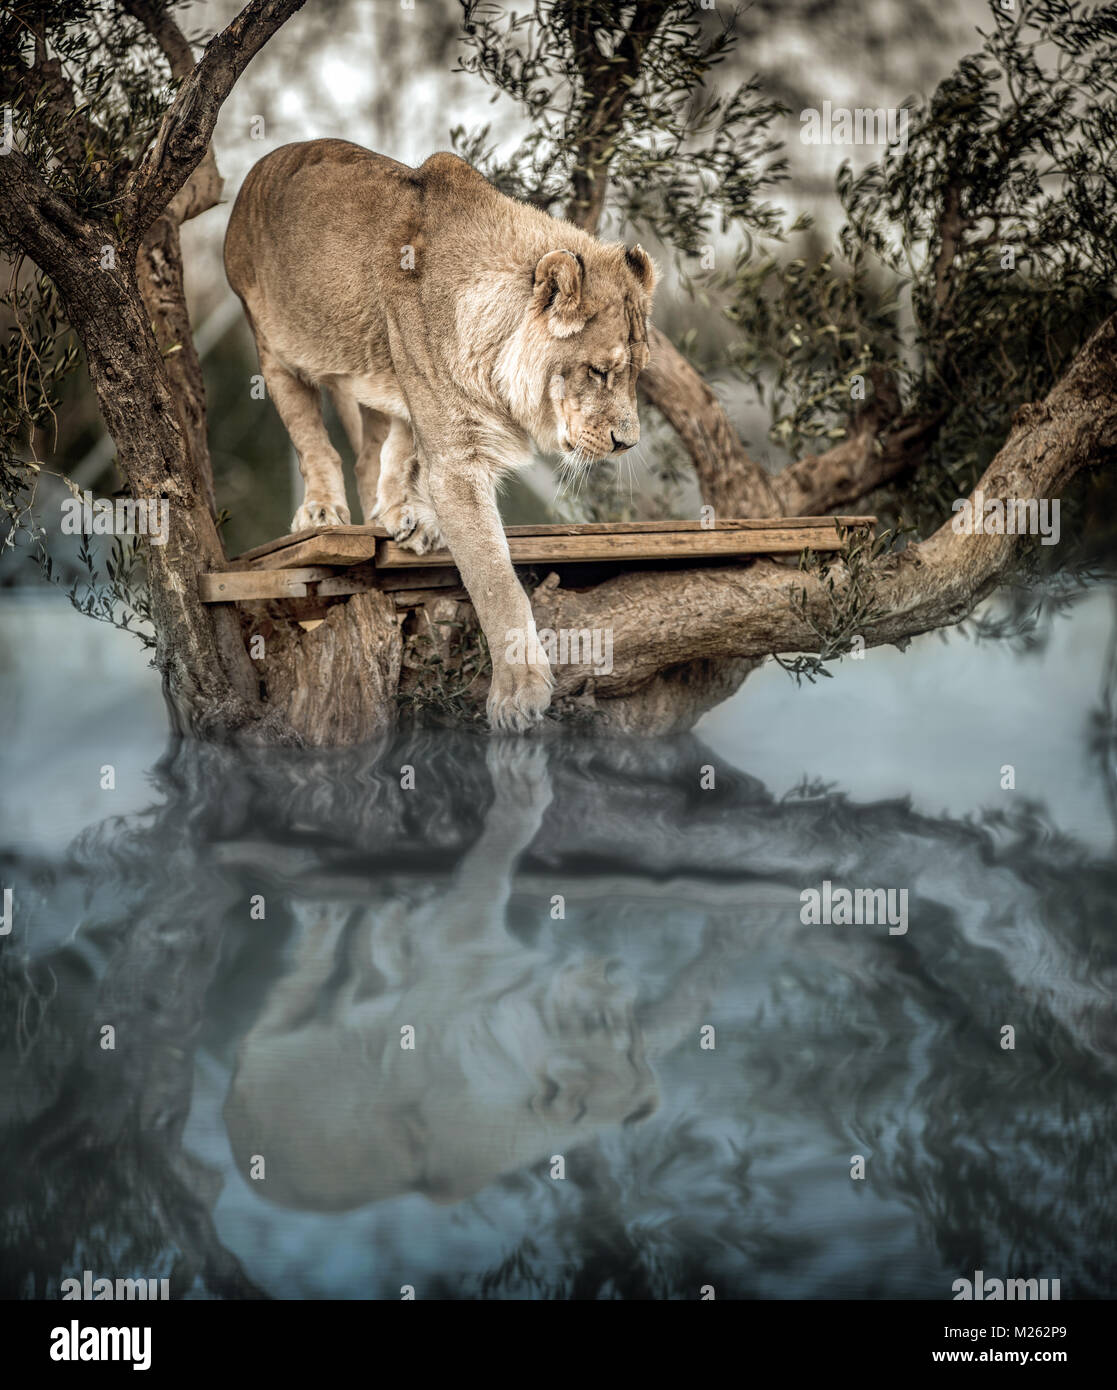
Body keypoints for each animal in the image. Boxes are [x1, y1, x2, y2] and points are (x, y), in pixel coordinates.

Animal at [223, 139, 657, 731]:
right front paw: (519, 694)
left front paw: (412, 514)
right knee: (312, 438)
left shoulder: (419, 396)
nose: (626, 443)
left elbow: (404, 452)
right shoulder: (454, 455)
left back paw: (396, 514)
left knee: (373, 452)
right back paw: (321, 510)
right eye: (599, 371)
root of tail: (263, 165)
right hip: (274, 346)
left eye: (637, 373)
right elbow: (494, 580)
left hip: (376, 365)